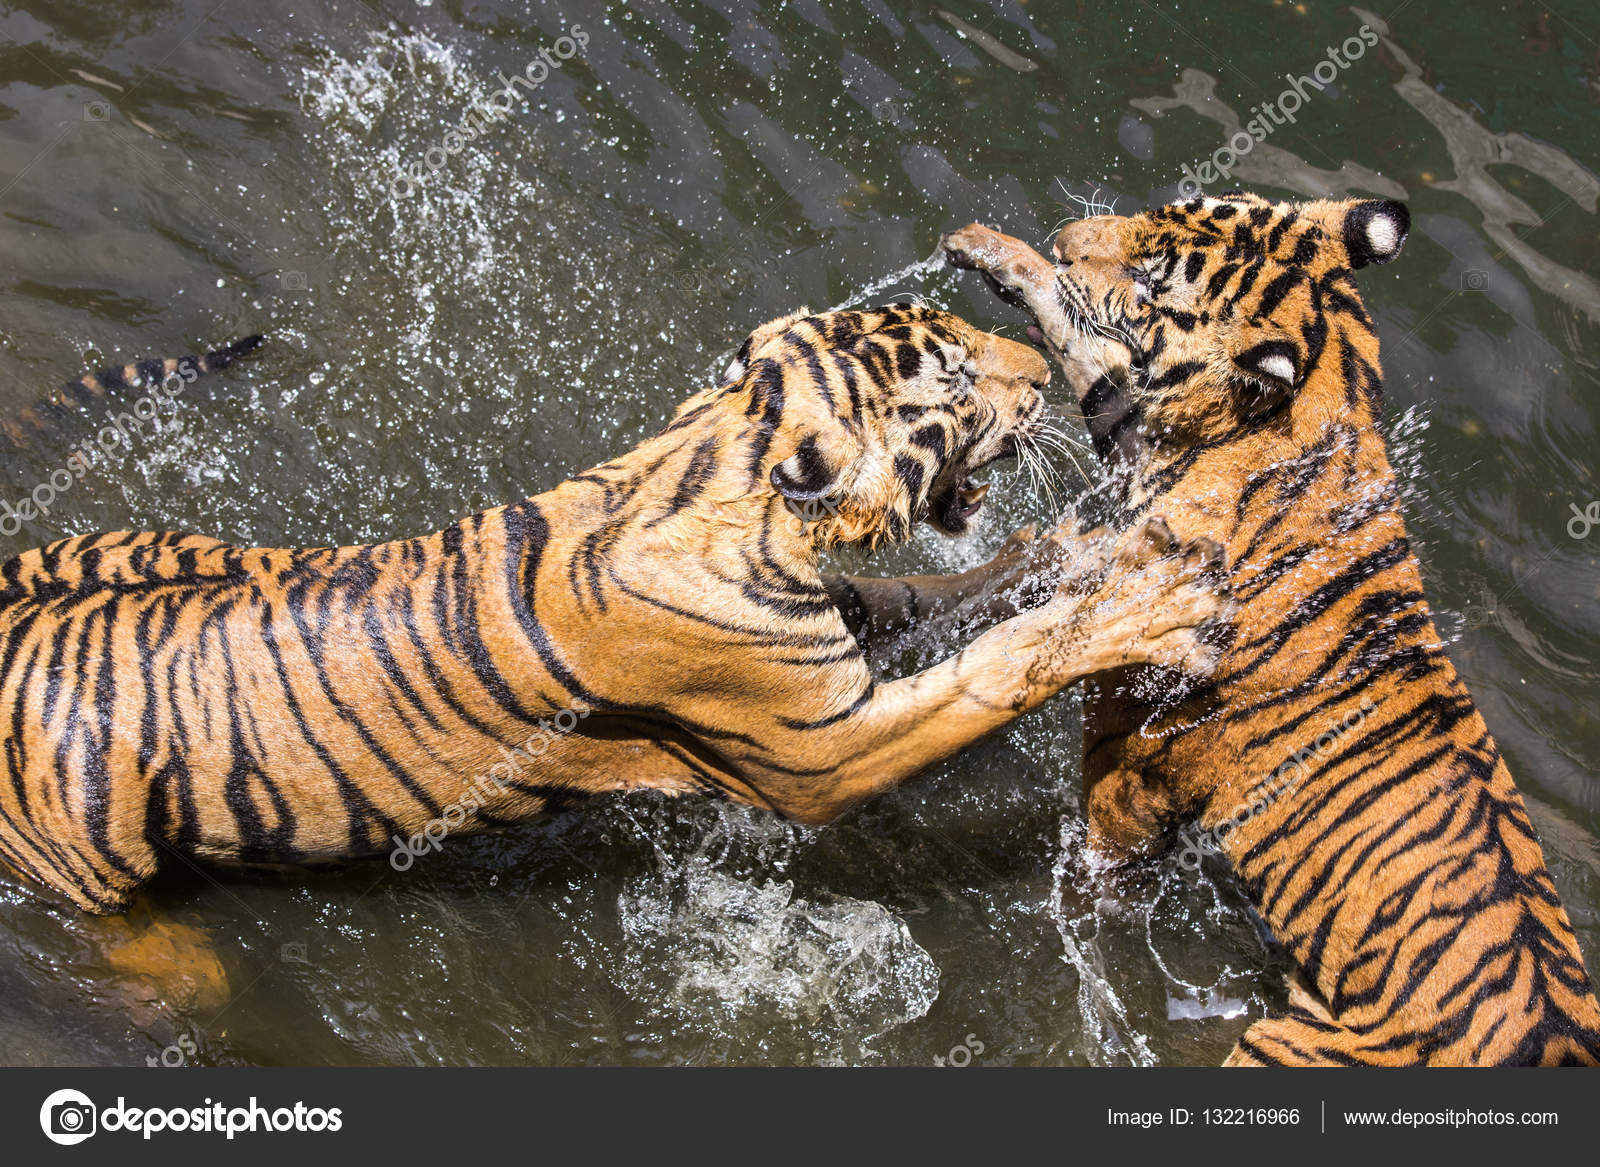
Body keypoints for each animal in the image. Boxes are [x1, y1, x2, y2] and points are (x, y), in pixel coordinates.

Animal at [0, 303, 1230, 915]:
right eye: (958, 379)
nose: (1051, 374)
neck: (734, 475)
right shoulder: (823, 754)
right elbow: (998, 665)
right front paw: (1147, 601)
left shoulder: (841, 617)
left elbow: (941, 588)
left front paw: (1076, 545)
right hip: (89, 866)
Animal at [942, 192, 1600, 1066]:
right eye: (1159, 213)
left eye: (1151, 283)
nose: (1062, 237)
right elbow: (1094, 363)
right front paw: (993, 252)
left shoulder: (1133, 759)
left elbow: (1104, 867)